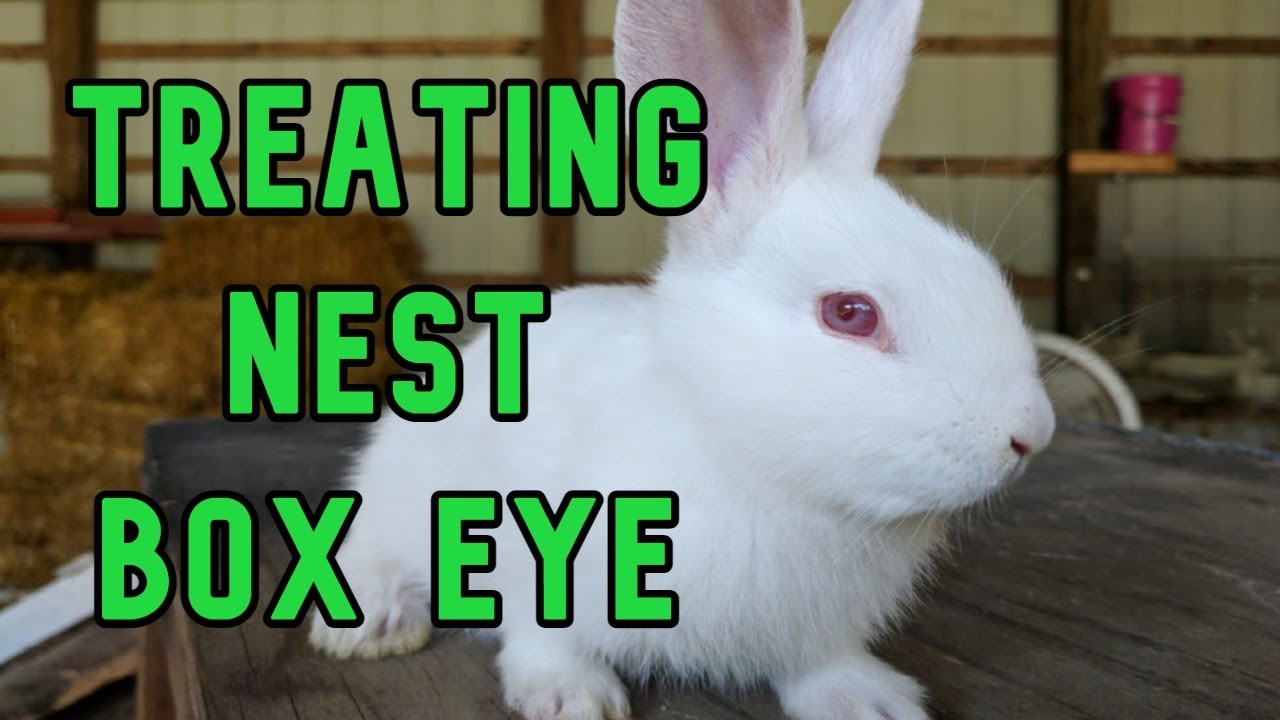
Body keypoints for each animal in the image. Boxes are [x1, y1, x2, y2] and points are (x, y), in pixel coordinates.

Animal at [308, 0, 1056, 719]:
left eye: (981, 269)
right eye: (850, 313)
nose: (1030, 434)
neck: (746, 457)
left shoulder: (816, 629)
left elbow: (820, 665)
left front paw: (873, 704)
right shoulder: (530, 559)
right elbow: (540, 637)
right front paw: (570, 697)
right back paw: (372, 622)